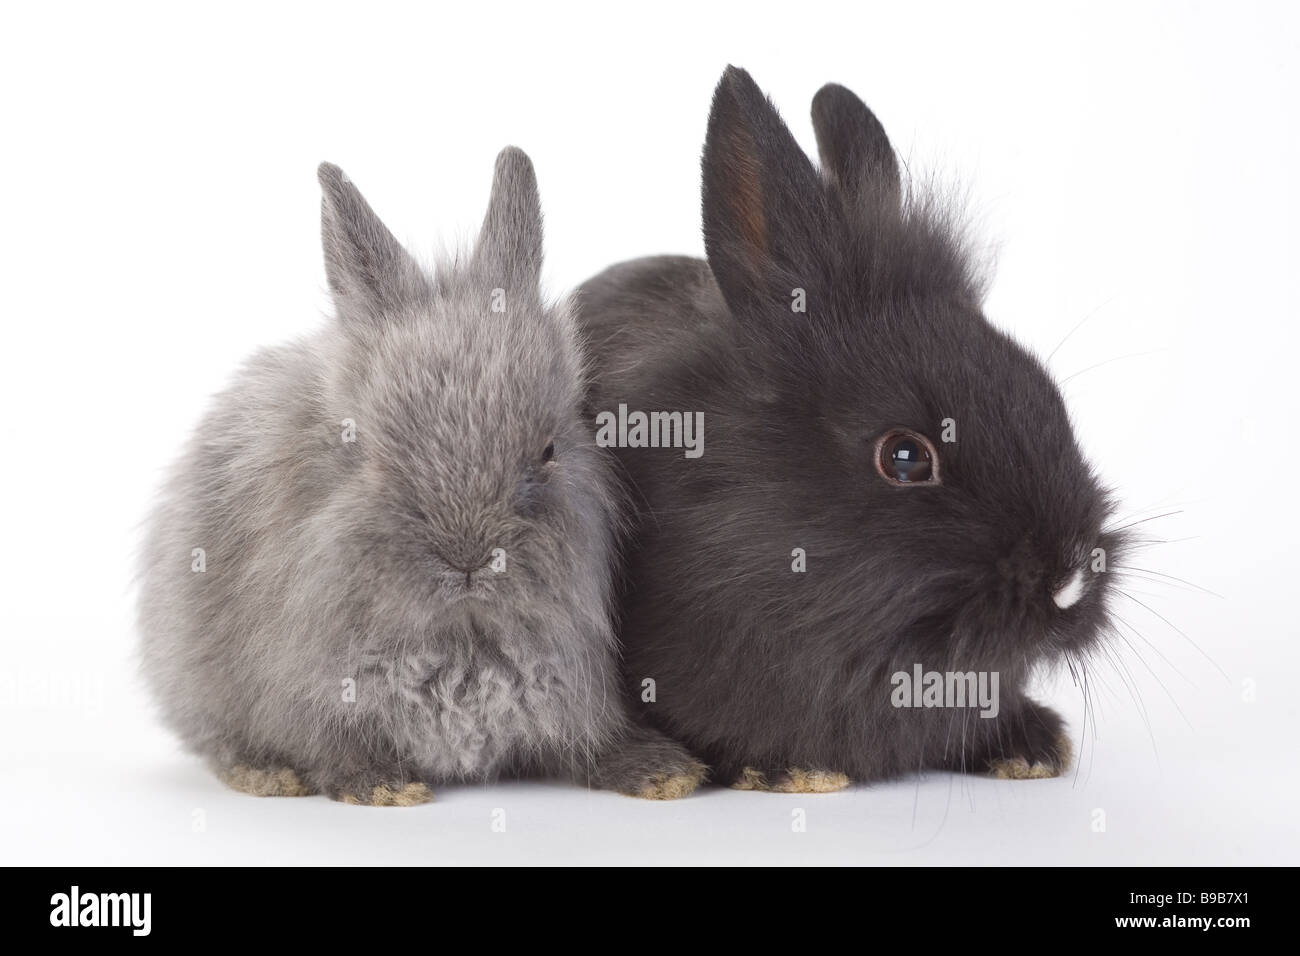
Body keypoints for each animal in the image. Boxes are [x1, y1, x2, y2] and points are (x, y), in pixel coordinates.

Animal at [137, 148, 705, 805]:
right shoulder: (301, 692)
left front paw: (664, 773)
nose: (468, 561)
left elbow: (594, 745)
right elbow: (329, 747)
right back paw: (265, 776)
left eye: (548, 449)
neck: (461, 637)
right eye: (365, 448)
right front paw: (384, 788)